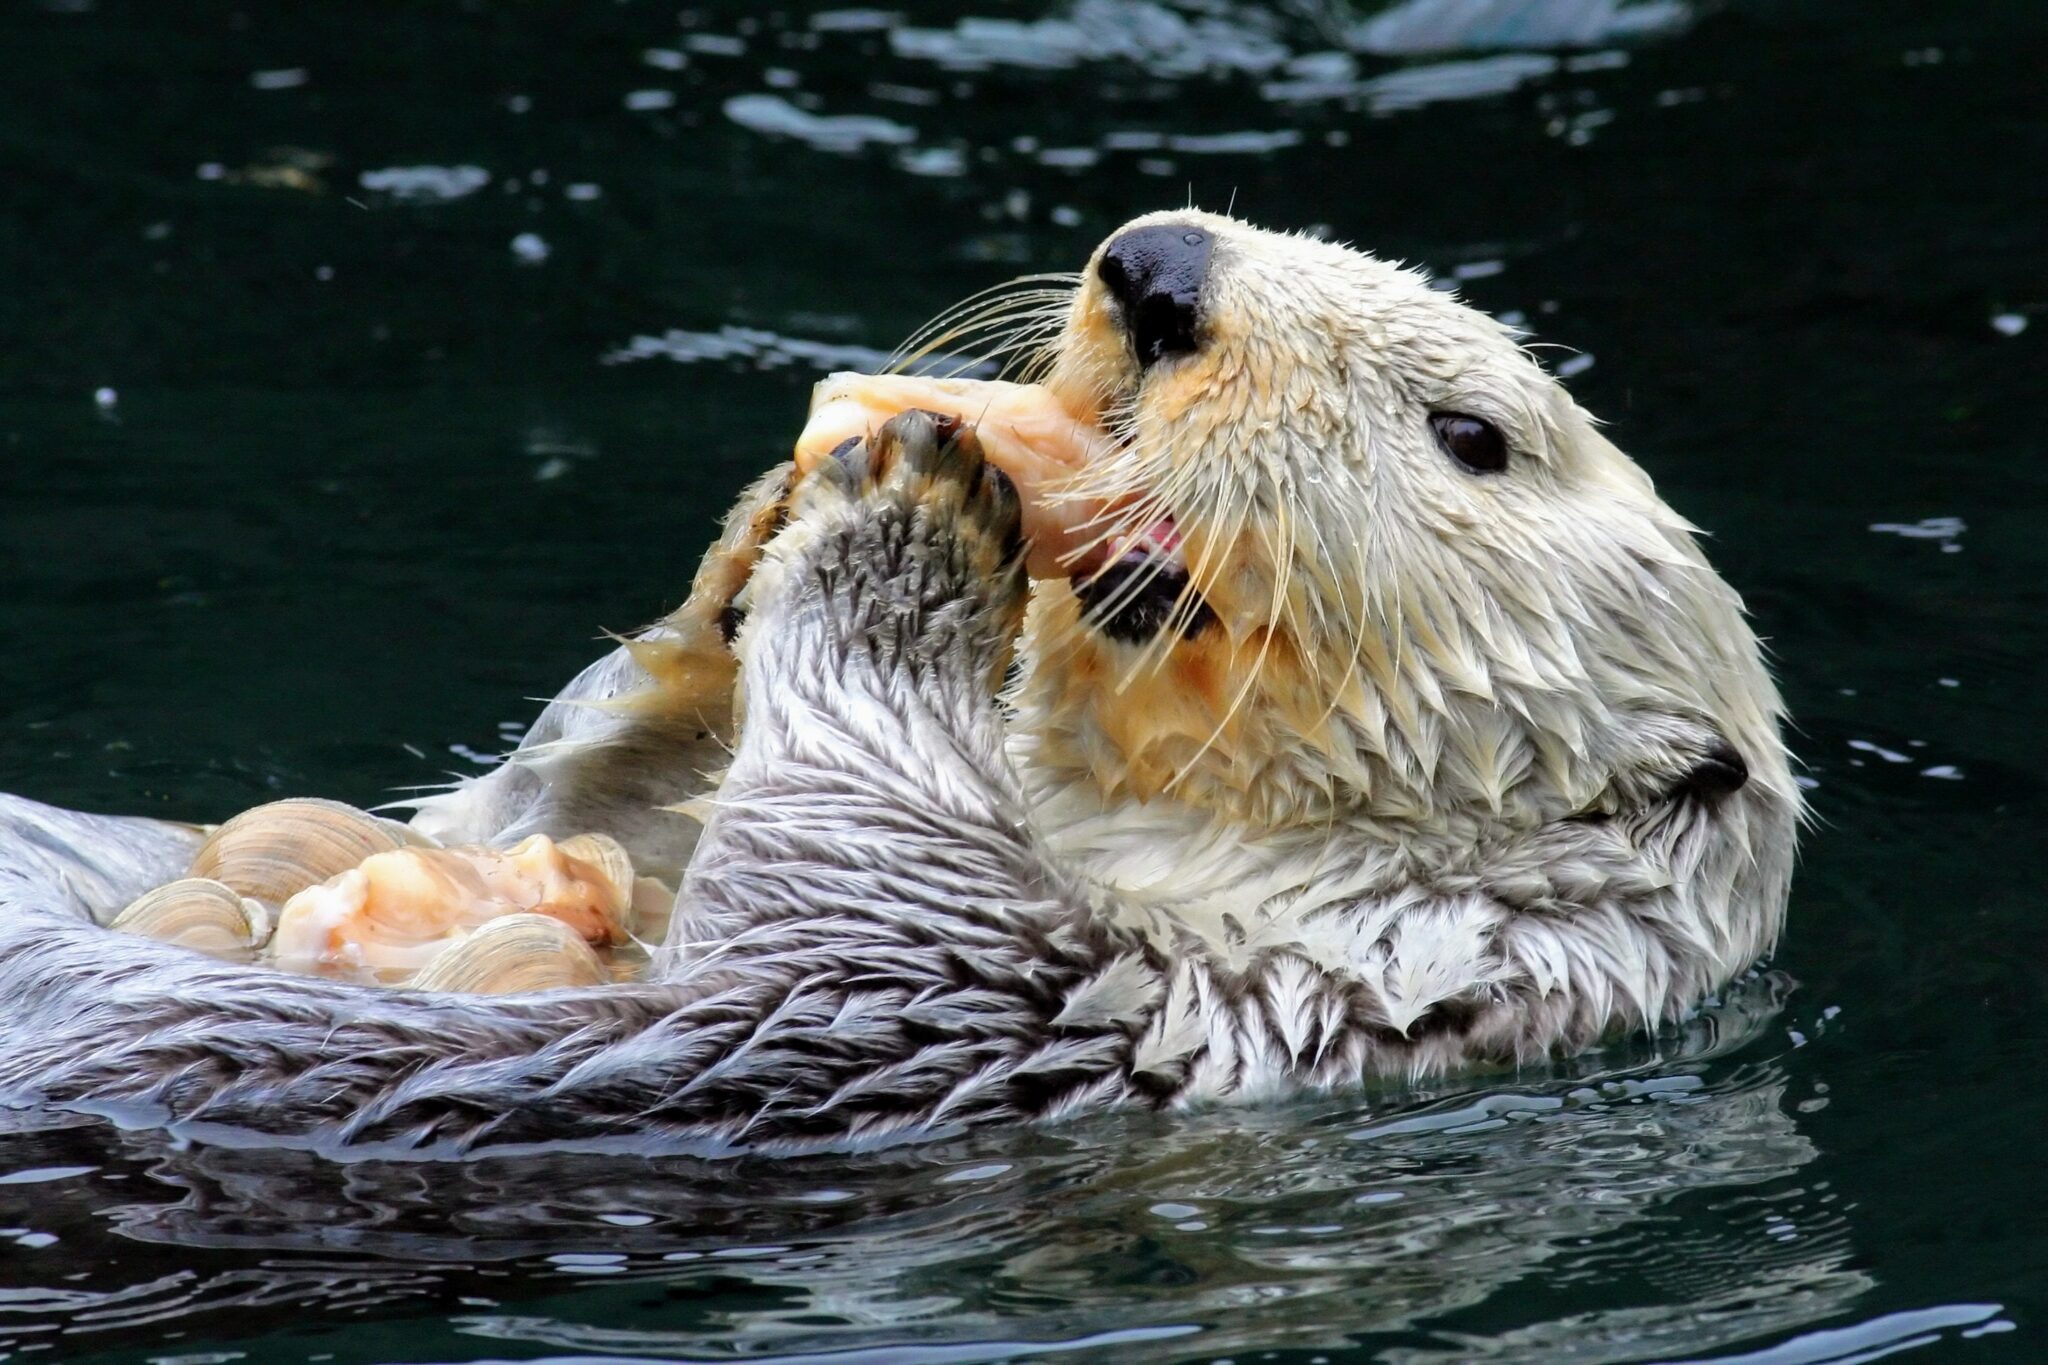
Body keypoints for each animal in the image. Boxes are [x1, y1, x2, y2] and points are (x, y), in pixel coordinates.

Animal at [0, 213, 1797, 1155]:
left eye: (1472, 433)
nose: (1159, 269)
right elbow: (555, 793)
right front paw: (754, 541)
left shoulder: (1018, 994)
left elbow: (848, 860)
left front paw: (904, 520)